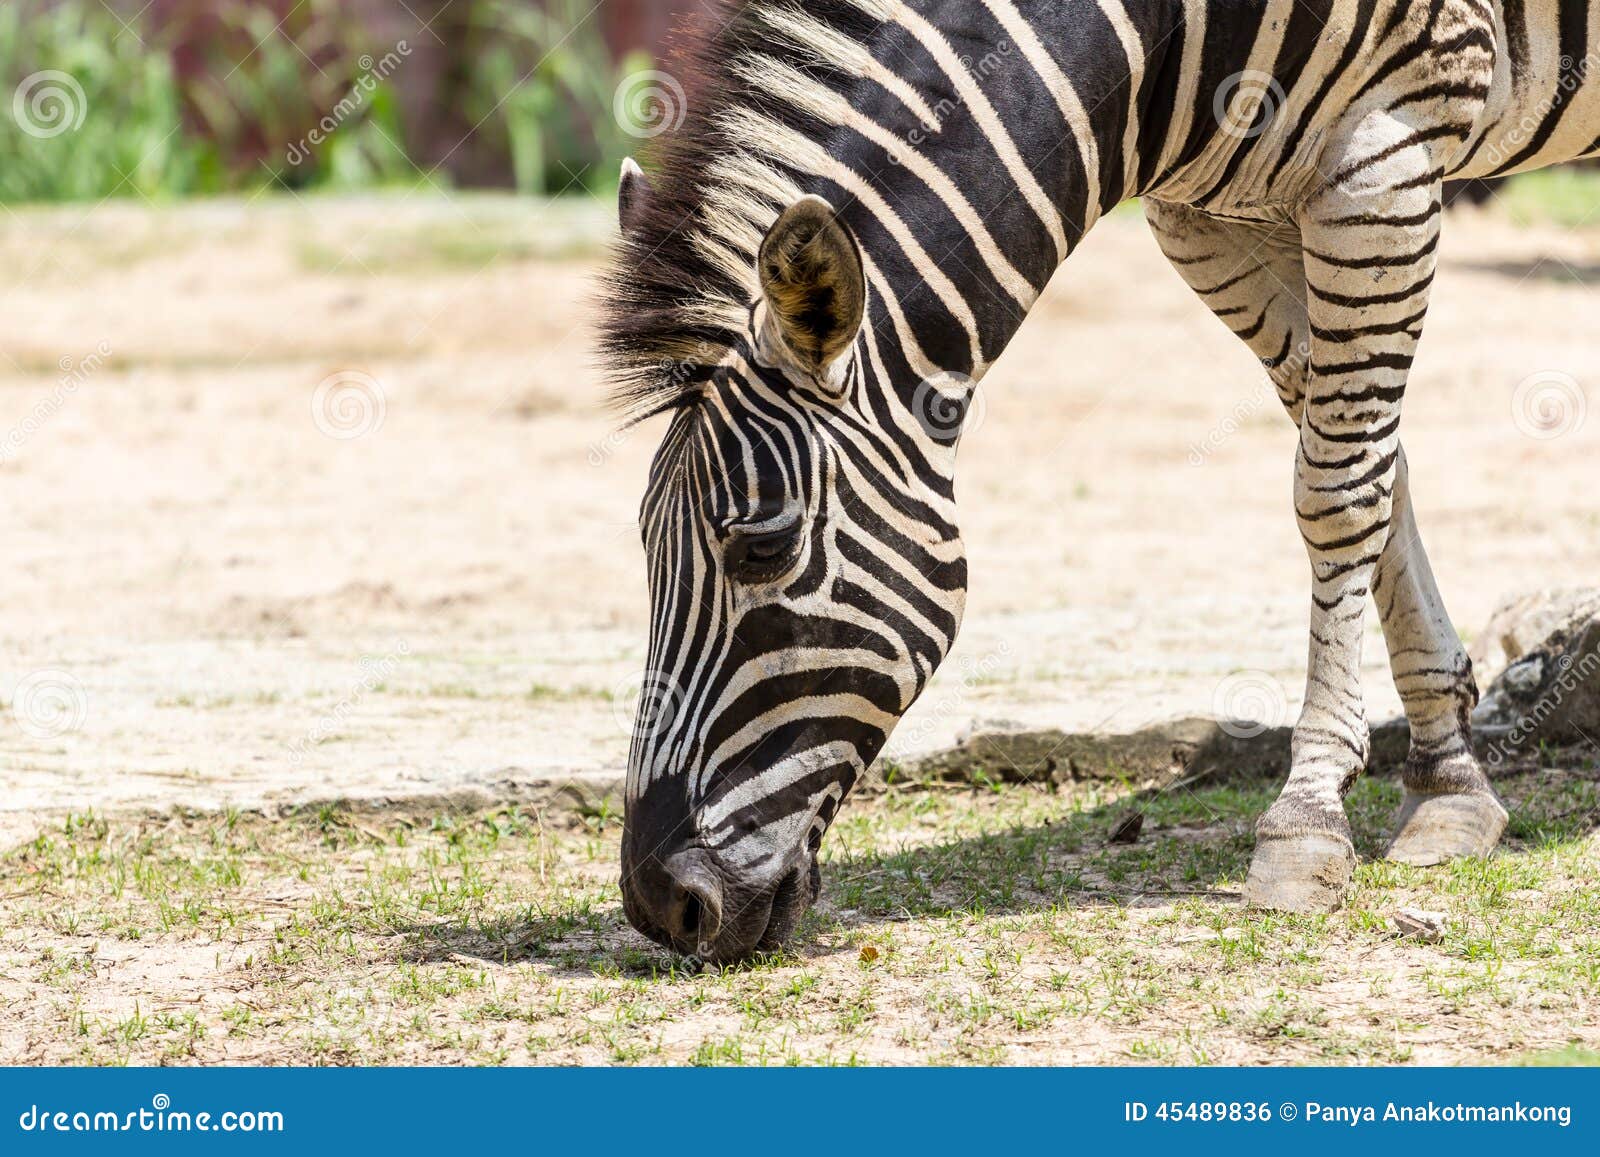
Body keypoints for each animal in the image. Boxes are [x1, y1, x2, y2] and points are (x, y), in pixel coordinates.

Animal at [602, 0, 1594, 962]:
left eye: (764, 547)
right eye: (642, 548)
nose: (659, 905)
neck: (1160, 39)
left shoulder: (1384, 155)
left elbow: (1339, 487)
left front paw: (1307, 816)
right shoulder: (1209, 215)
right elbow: (1370, 458)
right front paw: (1448, 779)